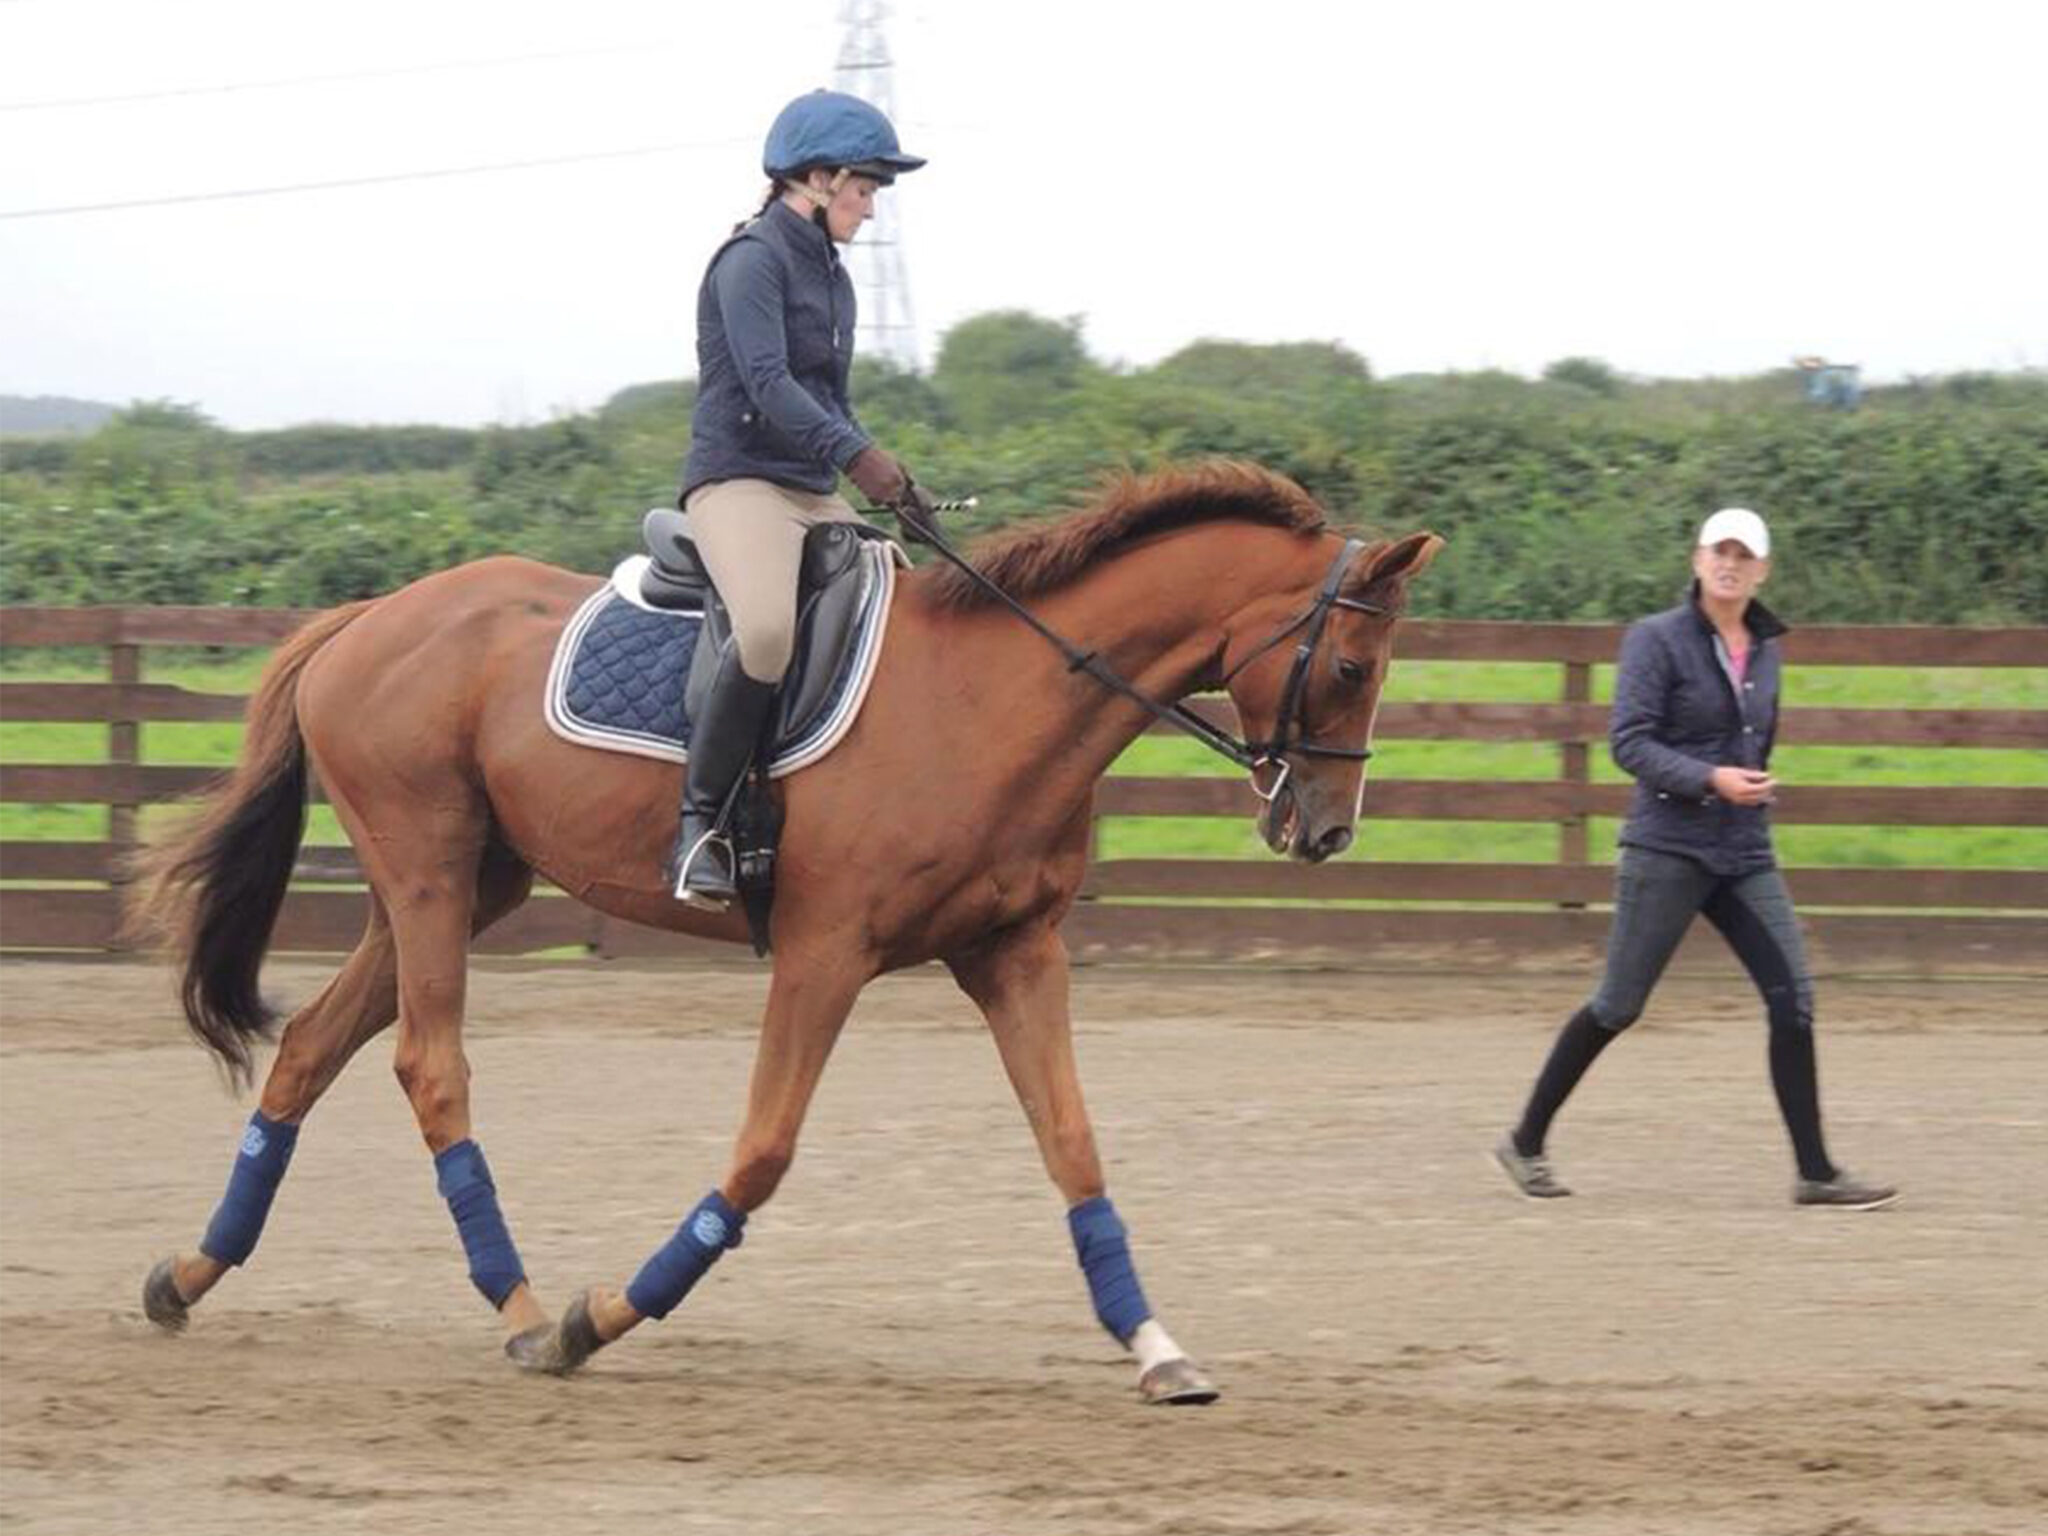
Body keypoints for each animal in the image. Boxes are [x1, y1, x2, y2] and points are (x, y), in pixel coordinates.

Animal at [132, 460, 1442, 1405]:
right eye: (1350, 664)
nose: (1324, 831)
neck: (1000, 700)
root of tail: (365, 617)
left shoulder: (1013, 954)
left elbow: (1072, 1145)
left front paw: (1155, 1347)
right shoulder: (825, 954)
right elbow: (760, 1154)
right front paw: (601, 1319)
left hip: (469, 884)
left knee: (312, 1049)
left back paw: (186, 1279)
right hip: (429, 874)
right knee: (426, 1063)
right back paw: (523, 1312)